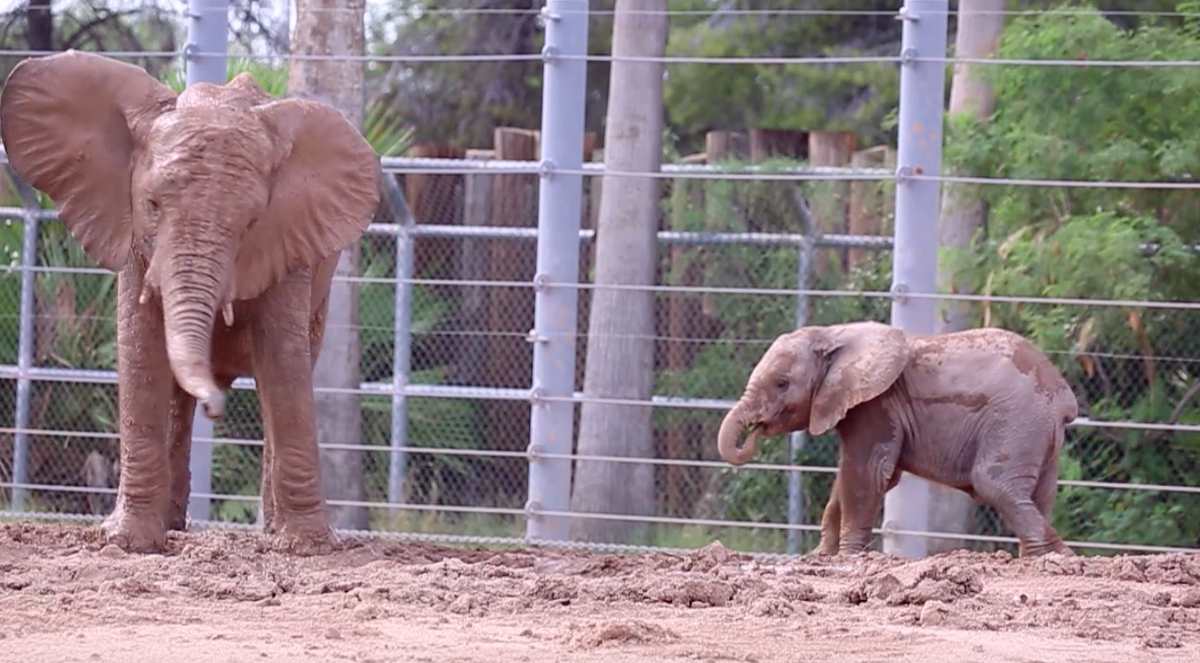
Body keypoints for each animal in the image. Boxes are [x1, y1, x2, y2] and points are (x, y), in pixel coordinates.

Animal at [0, 50, 382, 553]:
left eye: (250, 223)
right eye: (152, 204)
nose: (215, 407)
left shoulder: (291, 241)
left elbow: (282, 363)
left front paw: (311, 548)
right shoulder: (133, 238)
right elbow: (142, 352)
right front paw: (129, 543)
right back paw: (172, 526)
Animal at [716, 321, 1079, 558]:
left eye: (781, 383)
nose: (756, 430)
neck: (834, 334)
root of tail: (1063, 397)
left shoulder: (877, 405)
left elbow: (866, 472)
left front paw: (849, 557)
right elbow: (852, 477)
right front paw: (822, 556)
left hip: (1017, 420)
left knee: (995, 483)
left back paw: (1052, 557)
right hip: (1038, 433)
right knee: (1041, 493)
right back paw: (1044, 556)